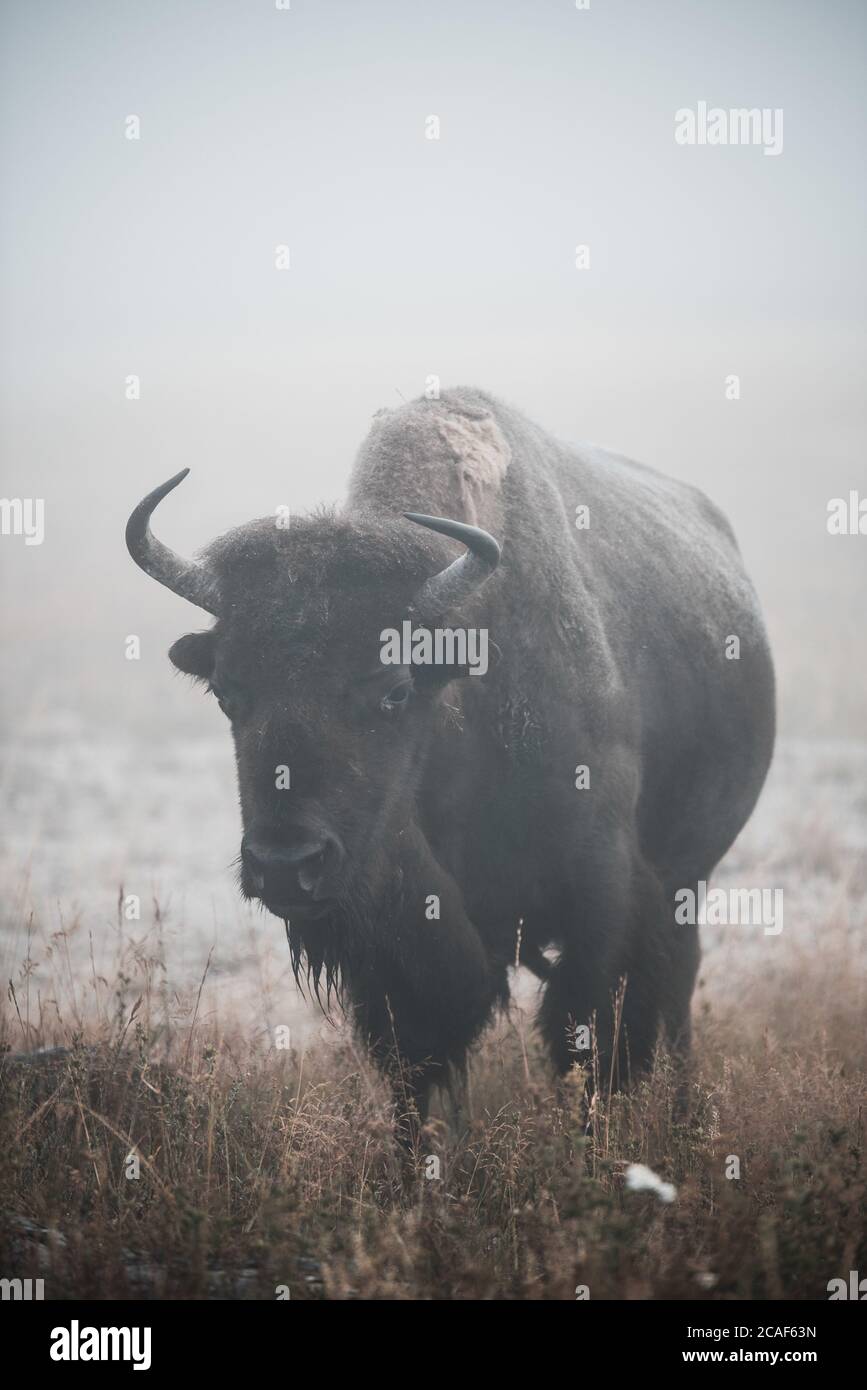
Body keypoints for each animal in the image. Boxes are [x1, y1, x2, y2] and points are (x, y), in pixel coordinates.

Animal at [126, 387, 775, 1120]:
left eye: (394, 690)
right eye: (228, 692)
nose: (285, 867)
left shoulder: (603, 898)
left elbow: (590, 1042)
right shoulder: (397, 946)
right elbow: (418, 1062)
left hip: (690, 878)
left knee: (678, 990)